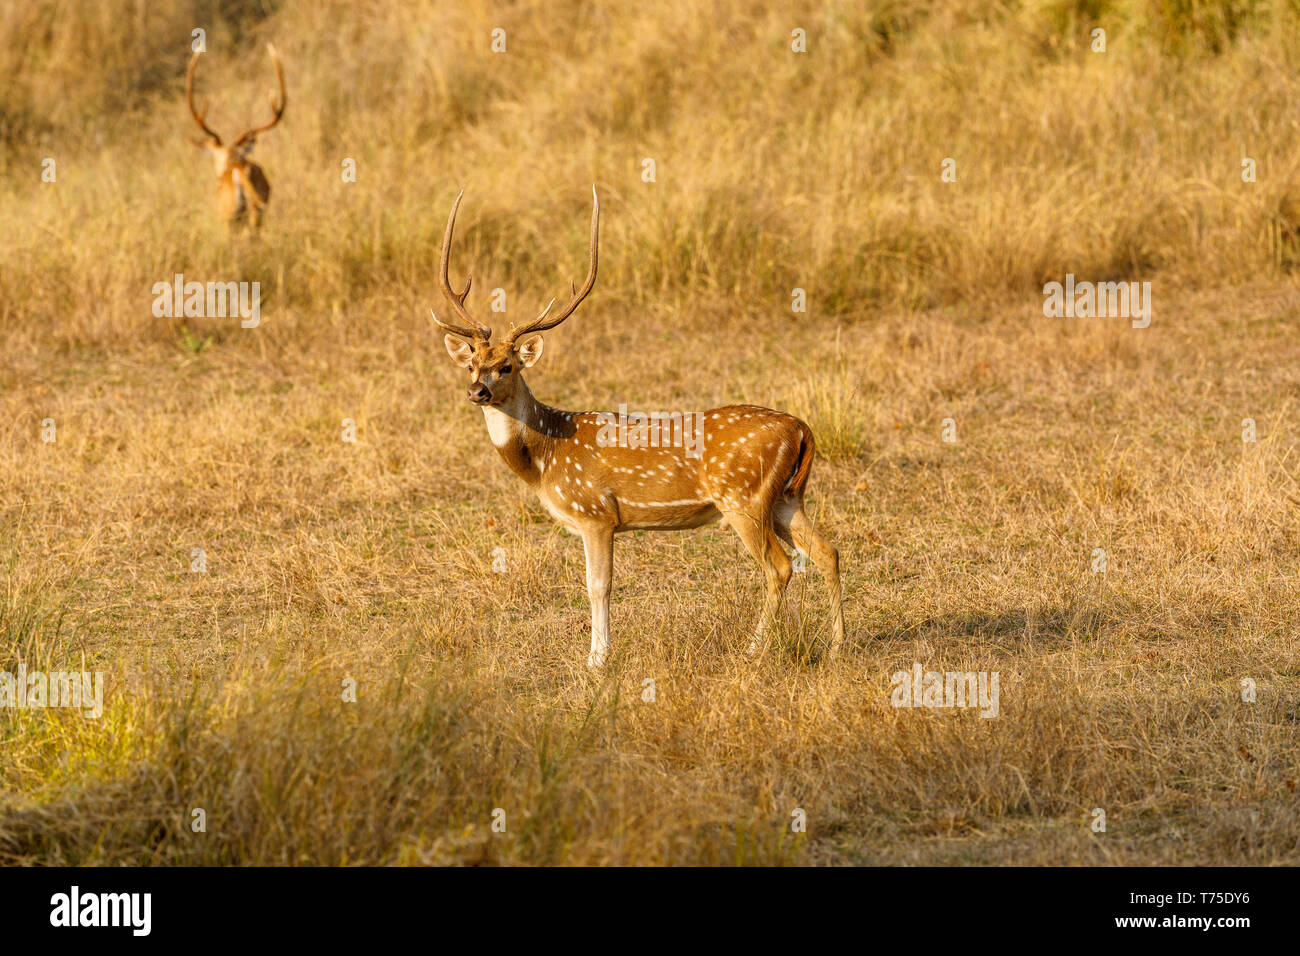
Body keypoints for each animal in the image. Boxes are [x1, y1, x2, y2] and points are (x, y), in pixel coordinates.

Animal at [432, 189, 844, 668]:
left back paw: (752, 650)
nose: (476, 390)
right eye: (473, 364)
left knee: (780, 564)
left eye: (507, 366)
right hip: (787, 496)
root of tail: (802, 429)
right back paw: (838, 645)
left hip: (744, 497)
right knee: (826, 551)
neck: (545, 458)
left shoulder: (596, 513)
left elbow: (598, 585)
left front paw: (597, 659)